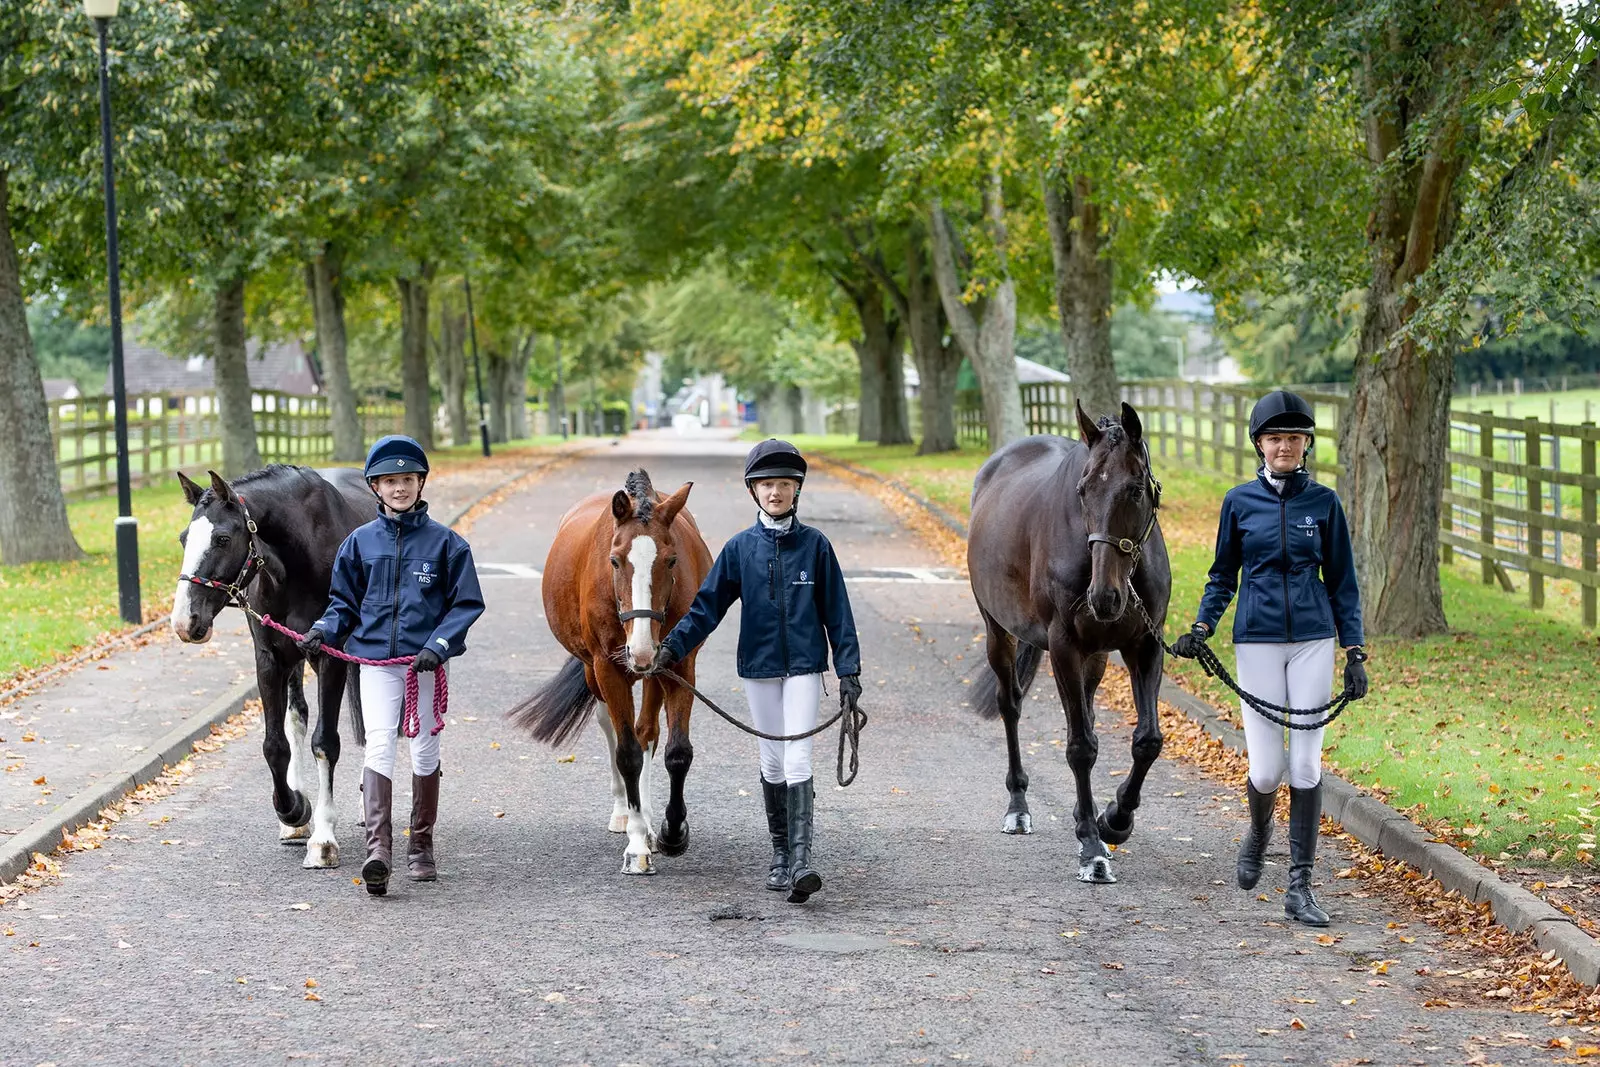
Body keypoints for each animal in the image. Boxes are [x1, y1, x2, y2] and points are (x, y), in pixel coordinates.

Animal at [172, 463, 371, 870]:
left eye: (222, 539)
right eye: (185, 539)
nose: (185, 621)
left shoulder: (330, 656)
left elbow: (325, 743)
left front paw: (323, 839)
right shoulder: (270, 659)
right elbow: (275, 744)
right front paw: (294, 809)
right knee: (297, 718)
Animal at [512, 473, 713, 876]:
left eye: (671, 560)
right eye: (615, 561)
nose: (641, 649)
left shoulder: (679, 665)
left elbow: (676, 752)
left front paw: (670, 832)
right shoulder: (607, 668)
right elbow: (627, 754)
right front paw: (636, 845)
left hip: (654, 672)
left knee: (646, 731)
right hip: (596, 672)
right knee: (611, 728)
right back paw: (625, 813)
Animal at [960, 399, 1177, 883]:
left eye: (1135, 490)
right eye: (1082, 491)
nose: (1104, 597)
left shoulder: (1145, 645)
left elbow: (1147, 740)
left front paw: (1114, 819)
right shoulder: (1064, 646)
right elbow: (1080, 748)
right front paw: (1093, 848)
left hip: (1094, 658)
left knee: (1088, 713)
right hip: (997, 630)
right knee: (1011, 705)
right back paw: (1018, 807)